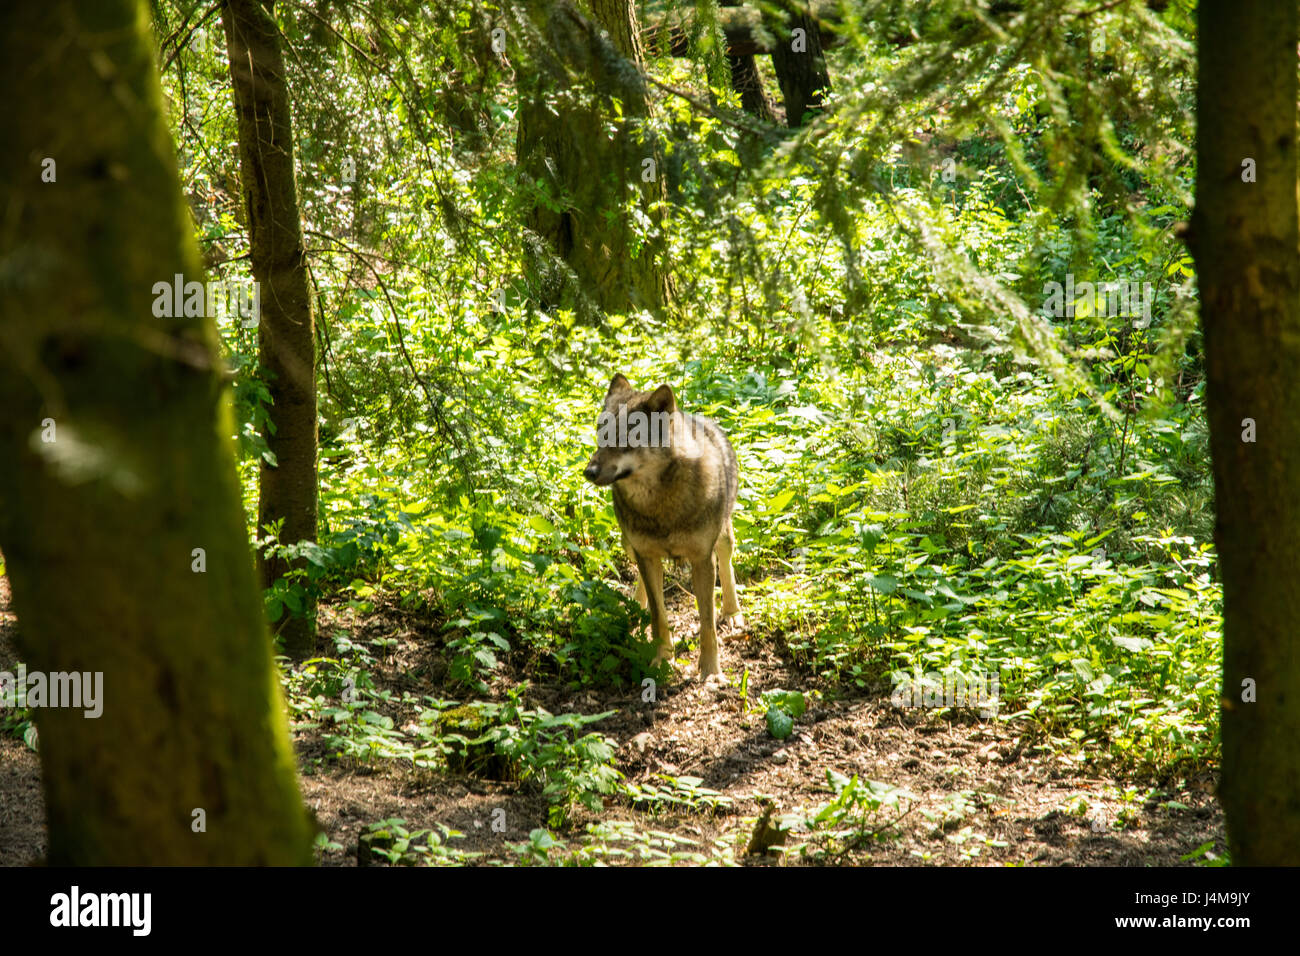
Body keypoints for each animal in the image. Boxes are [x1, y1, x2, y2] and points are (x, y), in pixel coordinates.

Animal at [583, 374, 743, 678]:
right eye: (600, 435)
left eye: (626, 438)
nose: (589, 472)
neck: (660, 506)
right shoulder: (646, 554)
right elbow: (659, 615)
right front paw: (662, 661)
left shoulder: (702, 559)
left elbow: (706, 621)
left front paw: (710, 671)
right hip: (629, 545)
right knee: (643, 586)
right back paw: (635, 609)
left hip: (723, 536)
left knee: (727, 566)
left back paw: (732, 613)